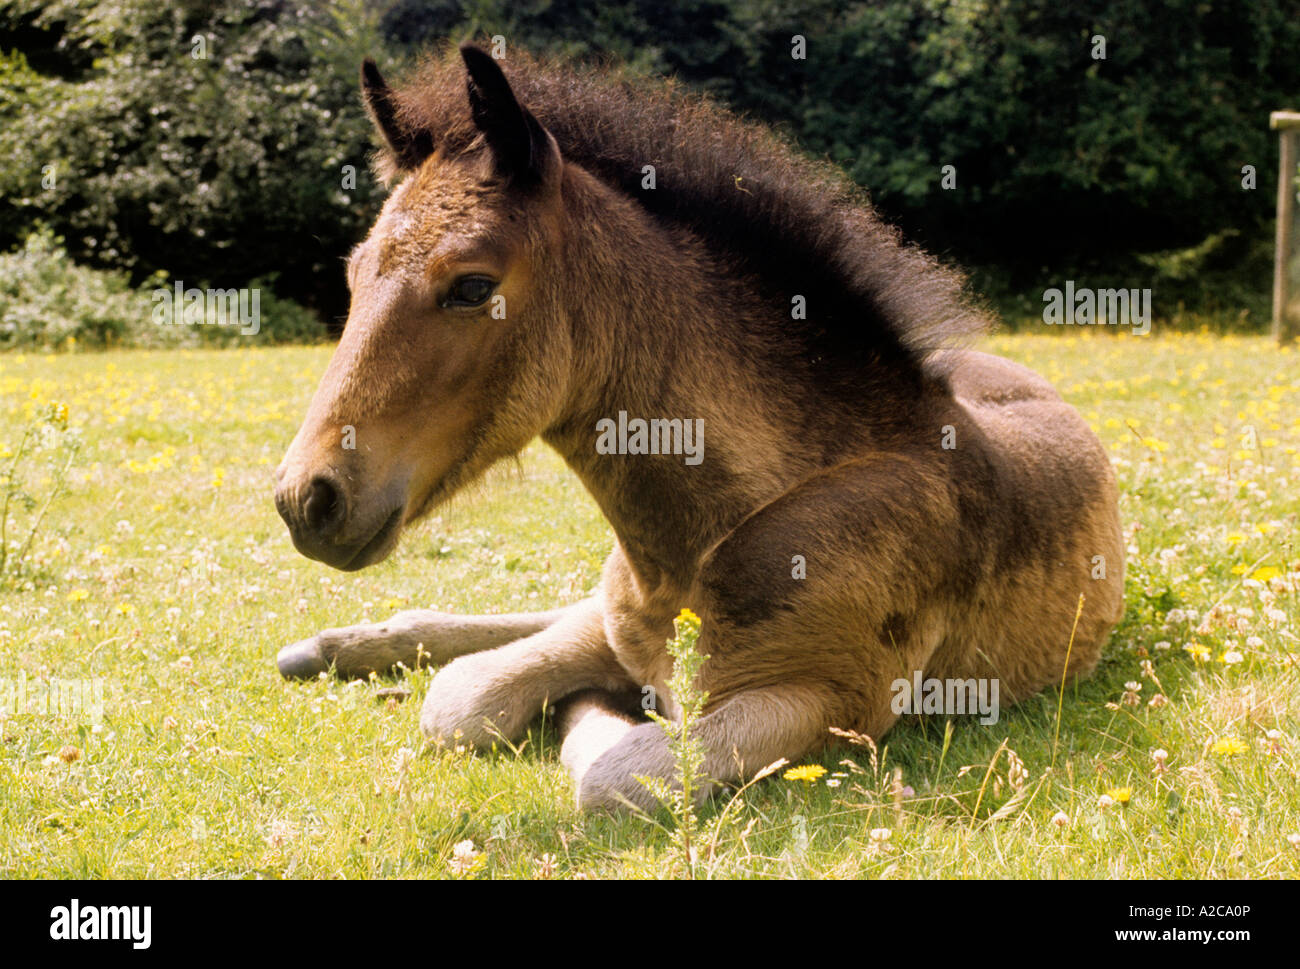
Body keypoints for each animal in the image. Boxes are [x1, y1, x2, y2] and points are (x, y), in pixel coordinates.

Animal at [273, 44, 1125, 811]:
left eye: (473, 286)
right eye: (353, 275)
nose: (305, 497)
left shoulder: (838, 699)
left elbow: (615, 774)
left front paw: (599, 710)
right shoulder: (618, 623)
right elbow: (464, 699)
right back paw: (332, 647)